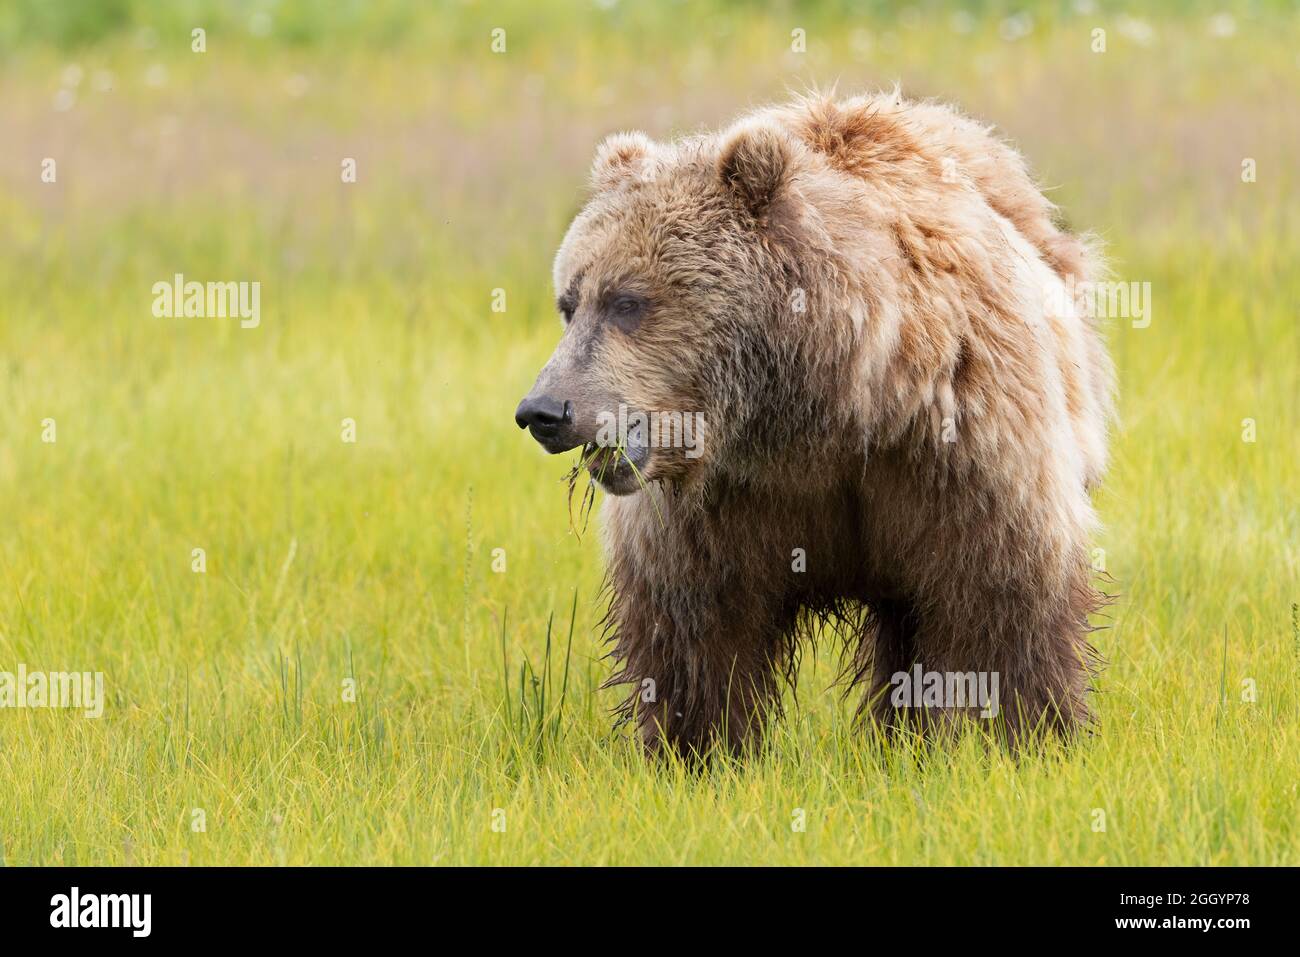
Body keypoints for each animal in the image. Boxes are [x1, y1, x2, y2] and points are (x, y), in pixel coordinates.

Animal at [515, 91, 1114, 758]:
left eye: (627, 301)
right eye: (569, 302)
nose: (544, 411)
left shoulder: (957, 445)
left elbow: (1001, 592)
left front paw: (1024, 737)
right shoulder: (721, 504)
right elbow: (699, 624)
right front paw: (697, 748)